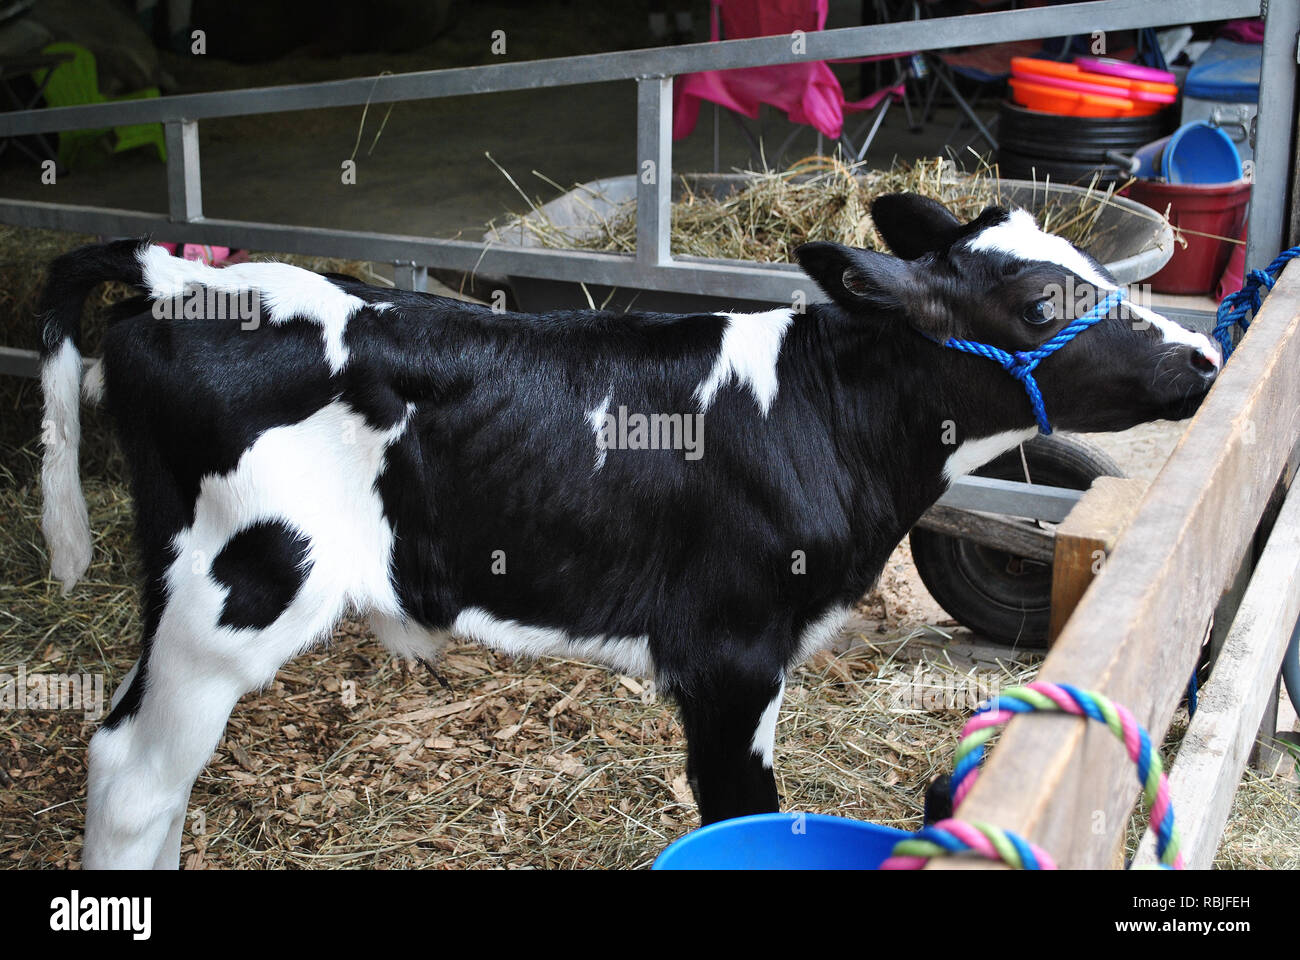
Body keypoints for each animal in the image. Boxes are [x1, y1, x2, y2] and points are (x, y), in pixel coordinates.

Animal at [36, 193, 1220, 868]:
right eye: (1039, 302)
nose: (1206, 359)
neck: (822, 410)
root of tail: (180, 278)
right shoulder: (729, 652)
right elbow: (736, 809)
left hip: (183, 585)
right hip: (240, 588)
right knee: (132, 775)